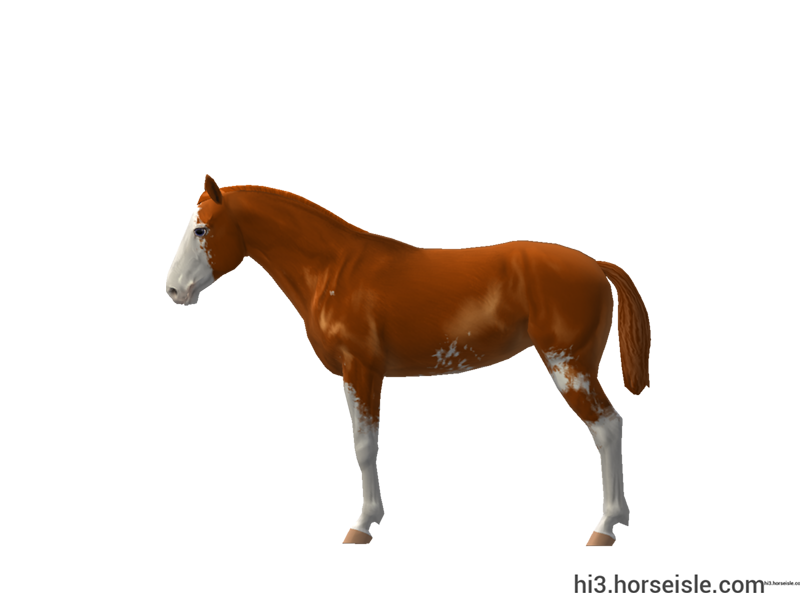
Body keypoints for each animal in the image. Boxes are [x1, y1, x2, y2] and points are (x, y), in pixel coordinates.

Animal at [166, 174, 650, 540]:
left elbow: (364, 446)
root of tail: (596, 265)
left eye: (201, 229)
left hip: (568, 364)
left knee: (607, 428)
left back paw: (610, 525)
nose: (173, 290)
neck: (334, 269)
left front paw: (366, 523)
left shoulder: (359, 368)